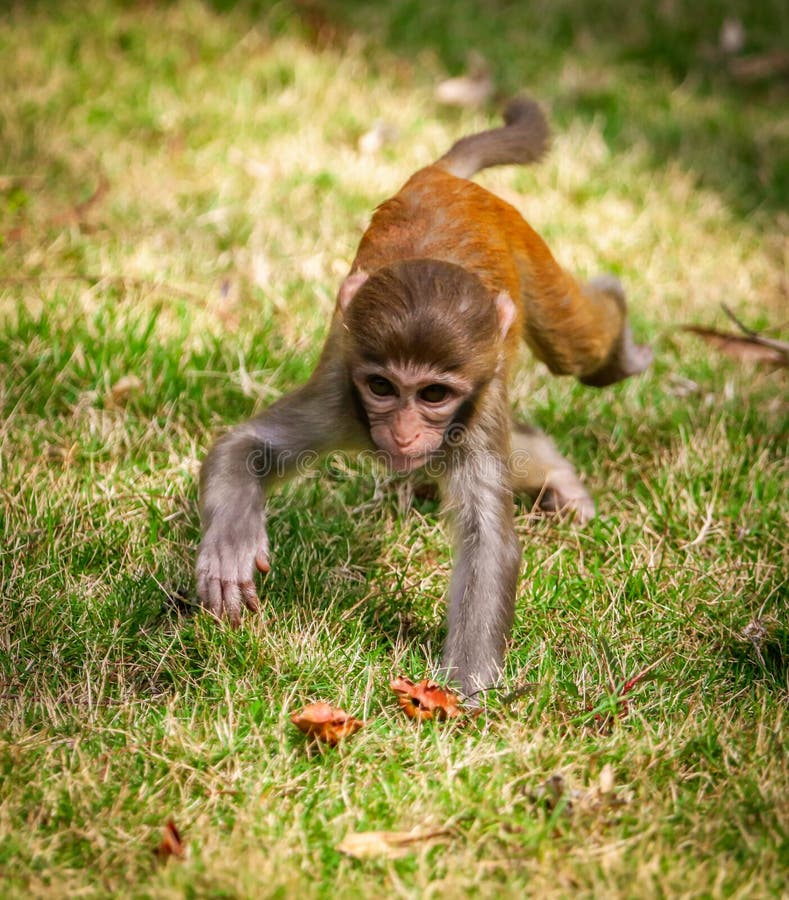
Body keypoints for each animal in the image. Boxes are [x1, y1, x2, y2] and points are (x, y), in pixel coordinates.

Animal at [196, 98, 652, 697]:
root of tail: (439, 179)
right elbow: (246, 445)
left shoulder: (476, 406)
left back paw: (620, 333)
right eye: (383, 388)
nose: (405, 432)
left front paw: (463, 695)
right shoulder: (342, 392)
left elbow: (488, 540)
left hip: (523, 247)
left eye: (433, 393)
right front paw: (230, 545)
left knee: (575, 347)